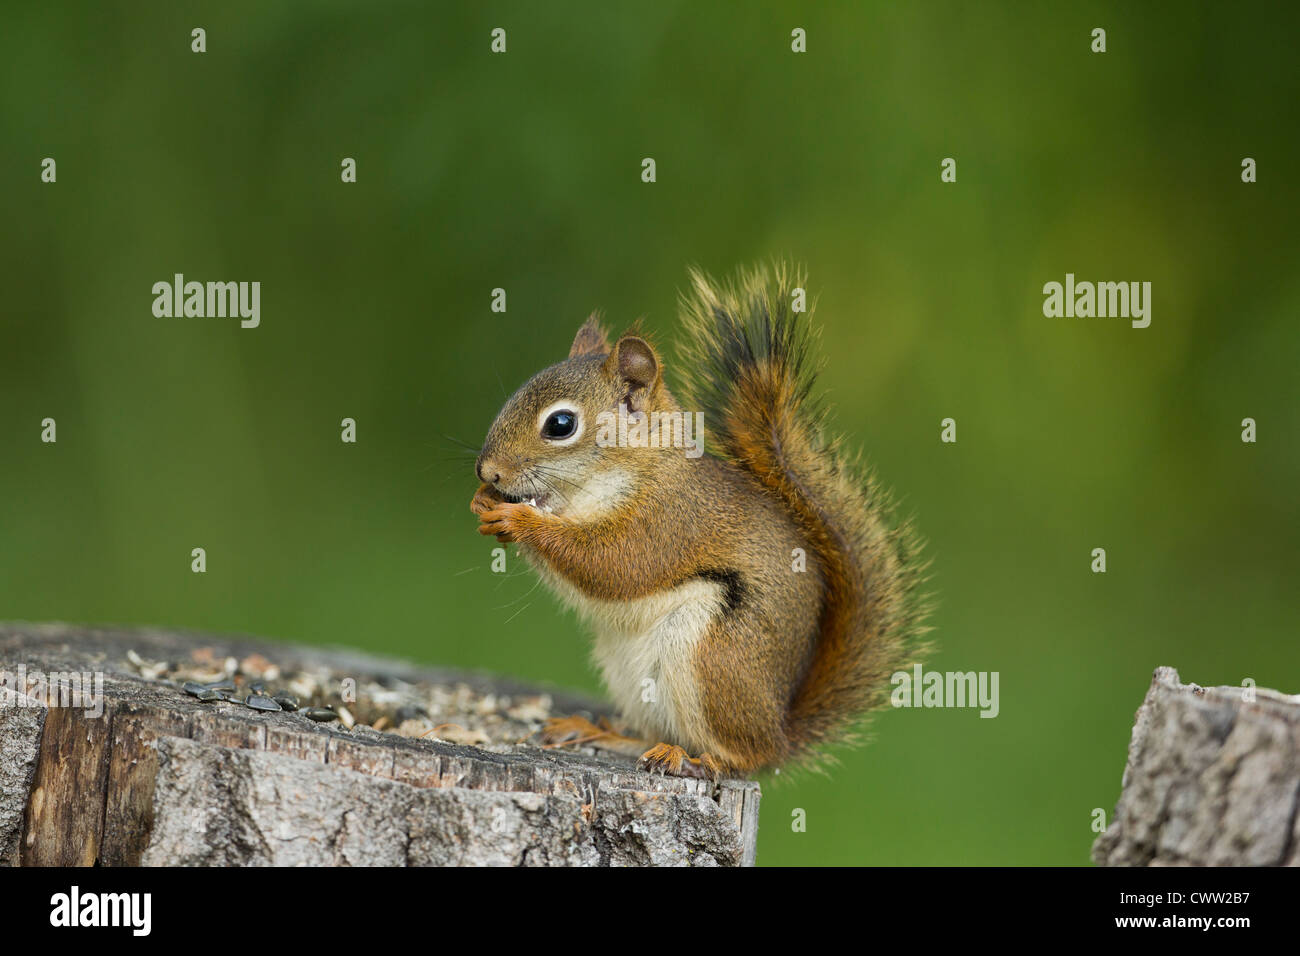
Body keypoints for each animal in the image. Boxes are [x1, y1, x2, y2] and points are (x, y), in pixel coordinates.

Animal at [470, 263, 928, 778]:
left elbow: (614, 564)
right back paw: (603, 732)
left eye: (561, 425)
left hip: (713, 659)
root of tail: (780, 728)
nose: (487, 472)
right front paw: (483, 504)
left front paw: (517, 518)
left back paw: (690, 756)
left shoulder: (668, 521)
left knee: (739, 755)